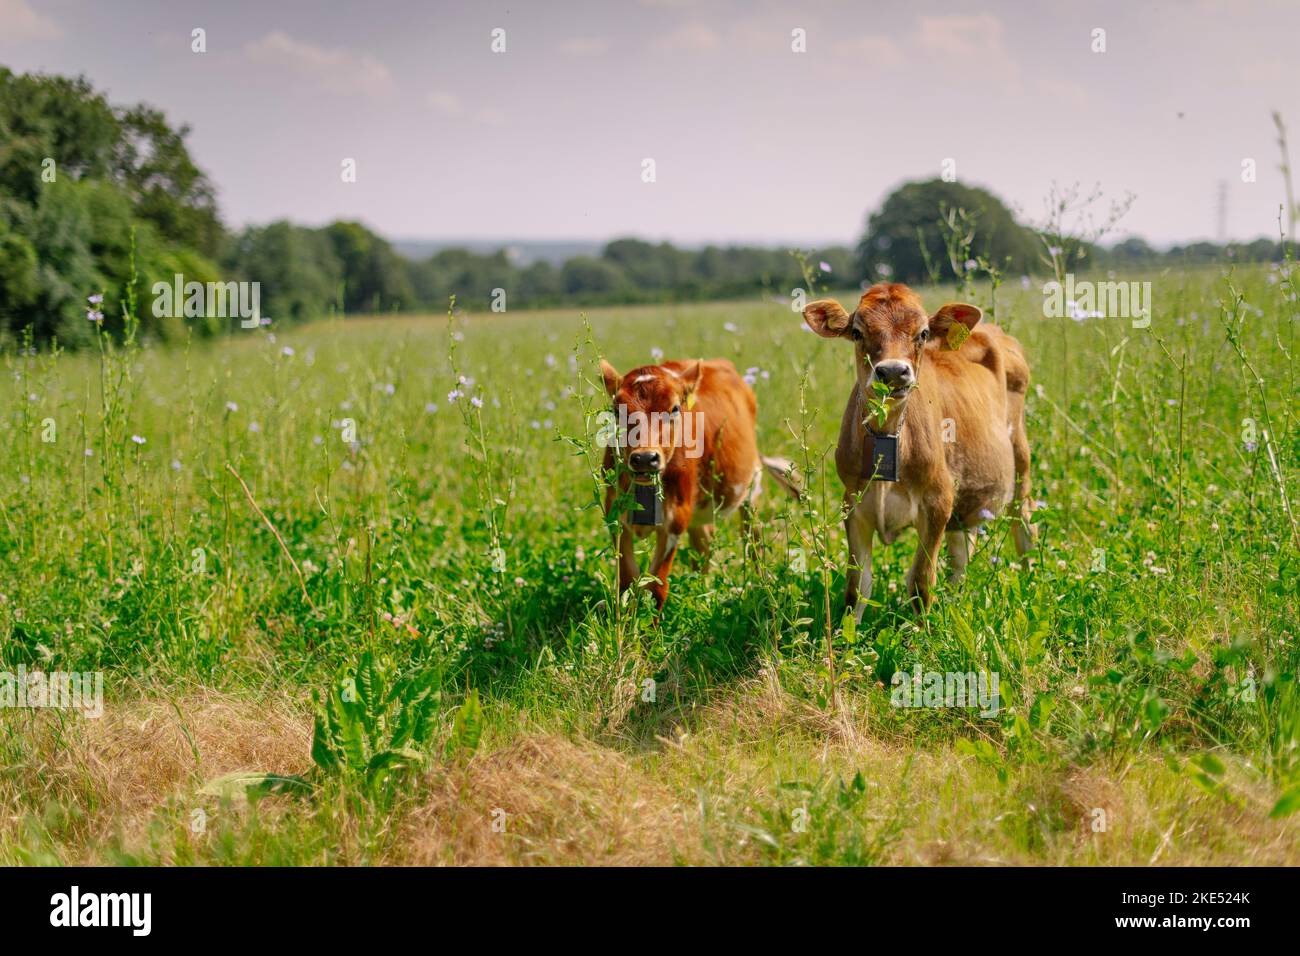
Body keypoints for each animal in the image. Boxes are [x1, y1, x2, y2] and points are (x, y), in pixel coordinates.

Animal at [599, 357, 800, 611]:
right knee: (704, 548)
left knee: (753, 540)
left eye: (675, 409)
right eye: (617, 411)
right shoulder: (616, 516)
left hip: (750, 492)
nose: (644, 458)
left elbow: (656, 588)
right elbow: (626, 582)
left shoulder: (675, 519)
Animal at [801, 282, 1036, 618]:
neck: (888, 434)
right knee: (961, 552)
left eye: (923, 333)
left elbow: (920, 584)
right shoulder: (854, 503)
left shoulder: (937, 501)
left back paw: (1030, 580)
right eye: (858, 332)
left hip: (1020, 459)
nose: (893, 372)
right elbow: (856, 589)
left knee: (1023, 521)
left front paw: (921, 632)